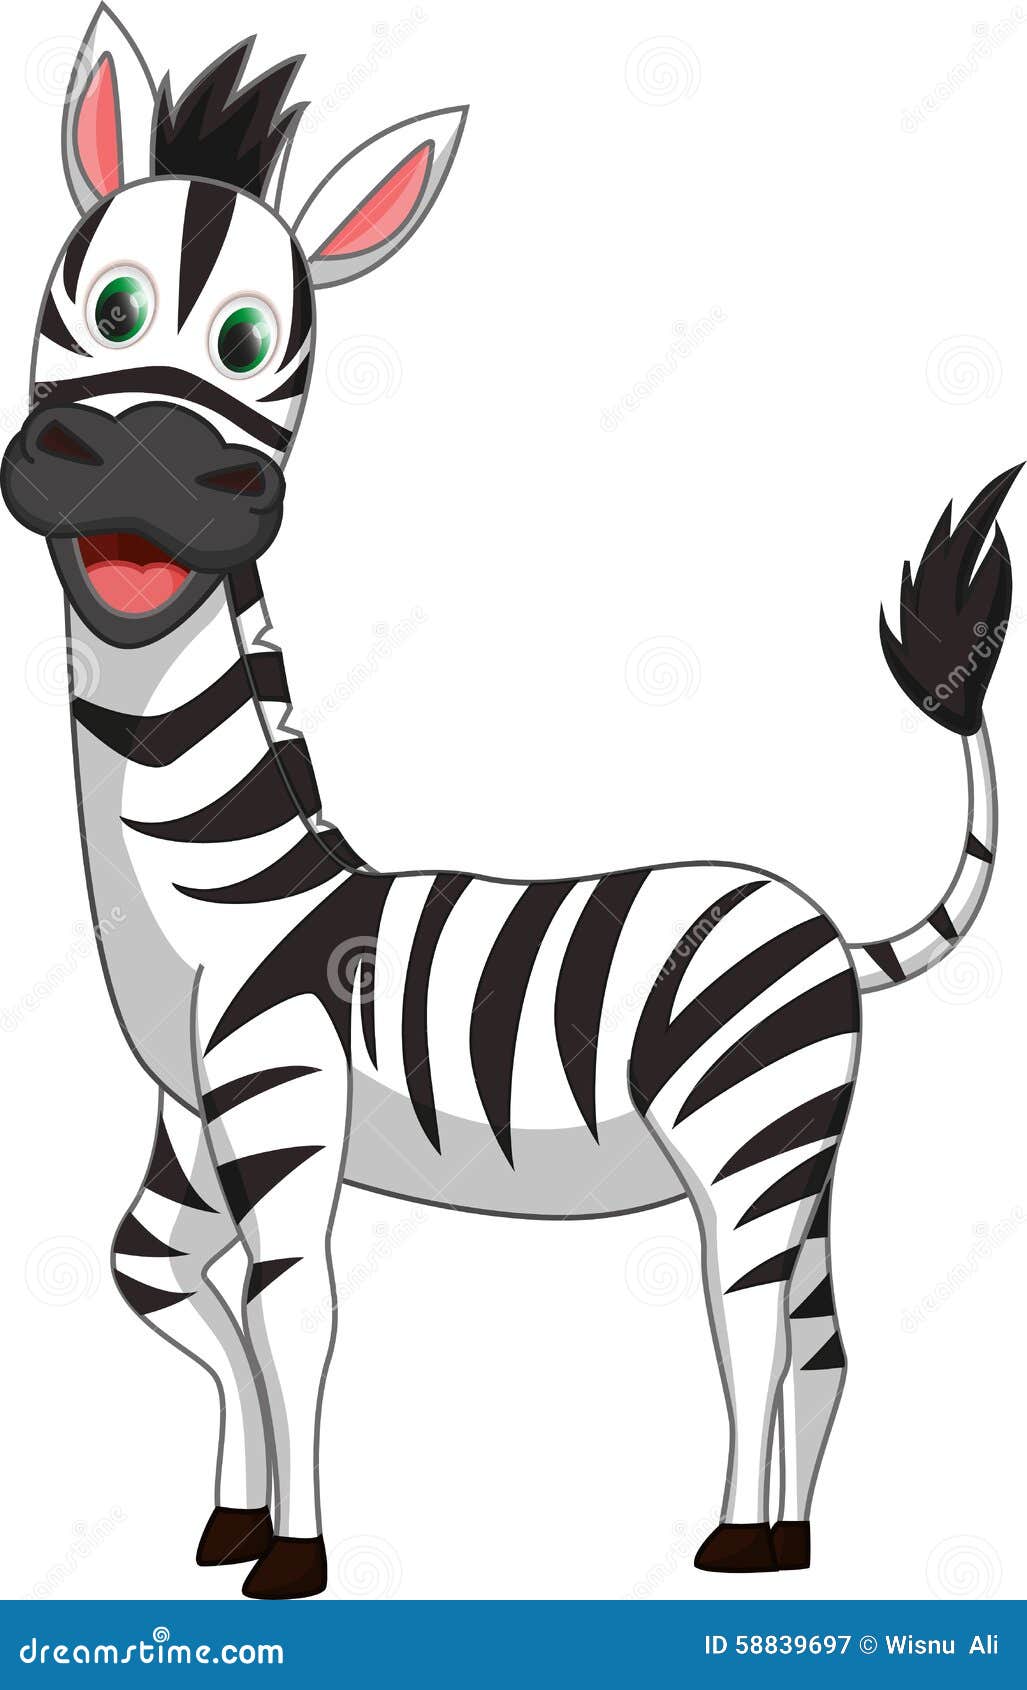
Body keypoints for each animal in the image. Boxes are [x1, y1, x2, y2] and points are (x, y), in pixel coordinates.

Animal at [2, 7, 1016, 1601]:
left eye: (257, 346)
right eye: (96, 301)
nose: (141, 470)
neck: (213, 901)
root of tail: (828, 935)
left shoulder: (279, 1106)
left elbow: (295, 1314)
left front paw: (292, 1556)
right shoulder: (189, 1129)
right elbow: (158, 1278)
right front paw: (226, 1518)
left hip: (743, 1138)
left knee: (744, 1324)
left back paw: (735, 1540)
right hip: (803, 1146)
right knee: (820, 1339)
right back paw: (794, 1541)